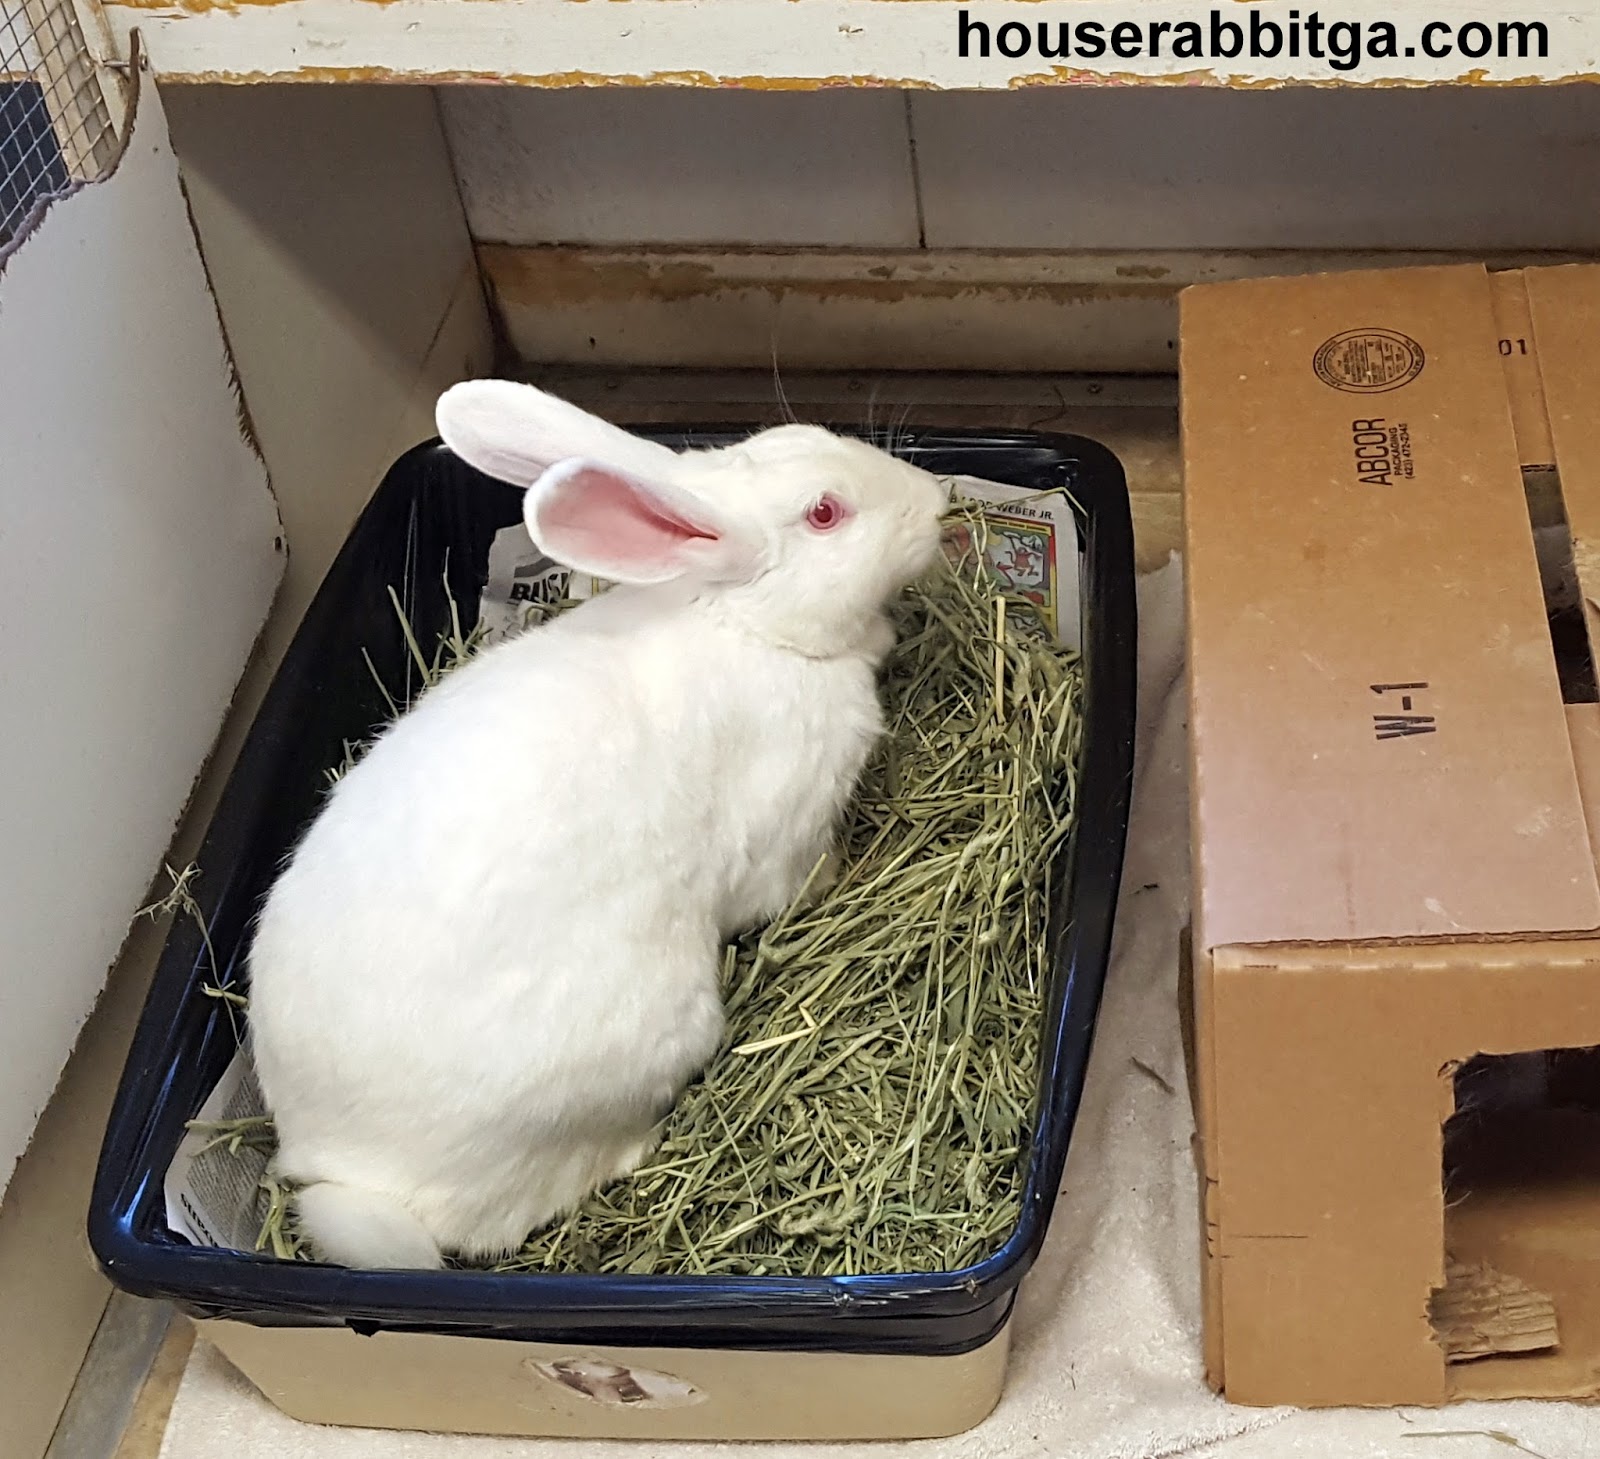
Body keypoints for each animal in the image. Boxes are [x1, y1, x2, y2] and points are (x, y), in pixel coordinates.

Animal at [243, 380, 951, 1271]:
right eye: (826, 512)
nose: (938, 500)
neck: (740, 619)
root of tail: (342, 1165)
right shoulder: (784, 839)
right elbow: (793, 880)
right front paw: (842, 877)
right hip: (654, 1038)